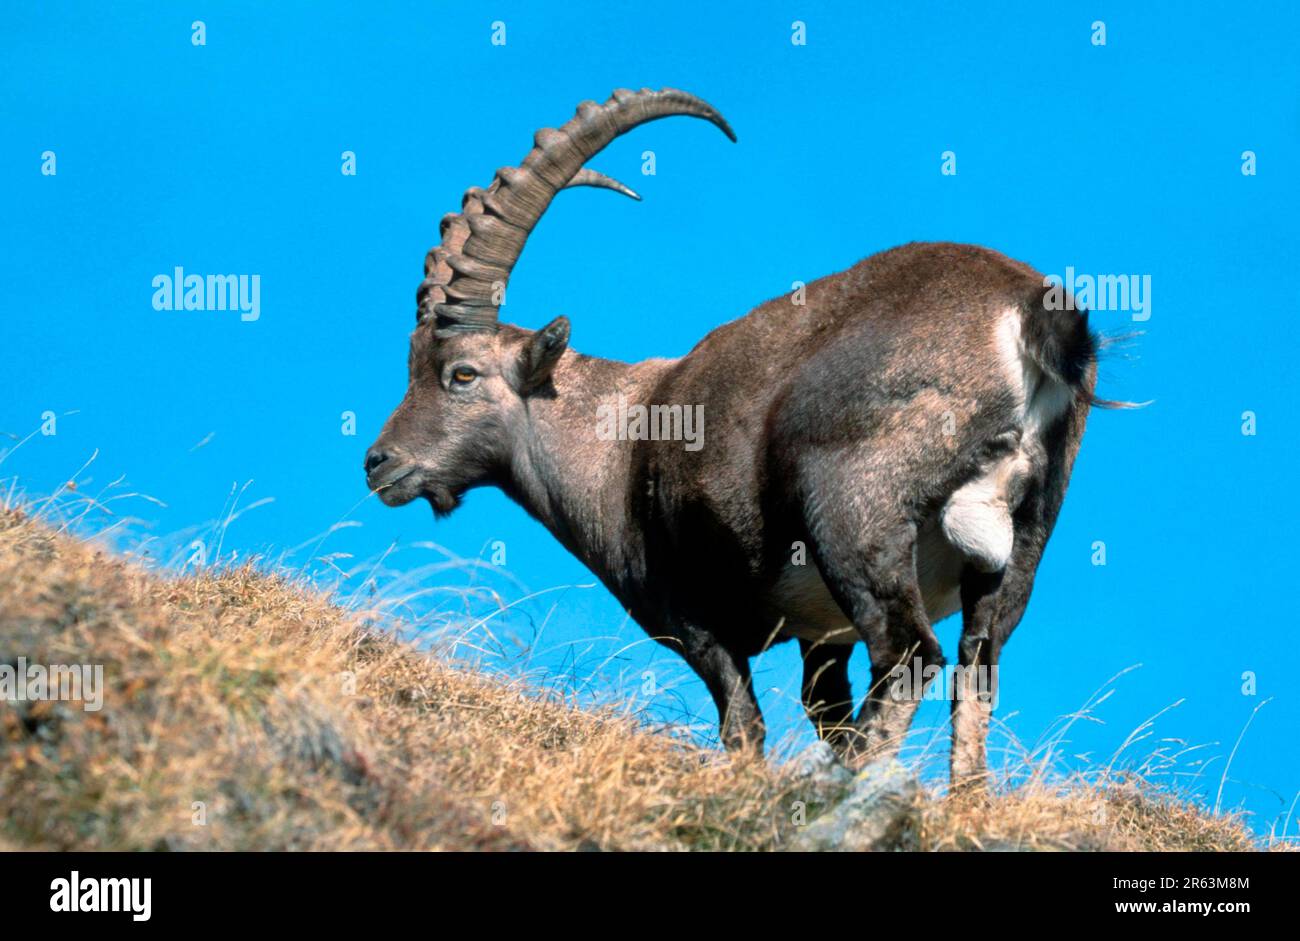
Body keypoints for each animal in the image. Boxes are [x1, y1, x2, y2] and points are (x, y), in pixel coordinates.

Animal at [365, 87, 1105, 786]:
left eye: (460, 373)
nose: (379, 463)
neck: (619, 441)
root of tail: (1025, 314)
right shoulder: (821, 634)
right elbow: (825, 713)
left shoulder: (698, 619)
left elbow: (743, 727)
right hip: (1023, 541)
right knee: (976, 668)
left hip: (855, 519)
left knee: (909, 654)